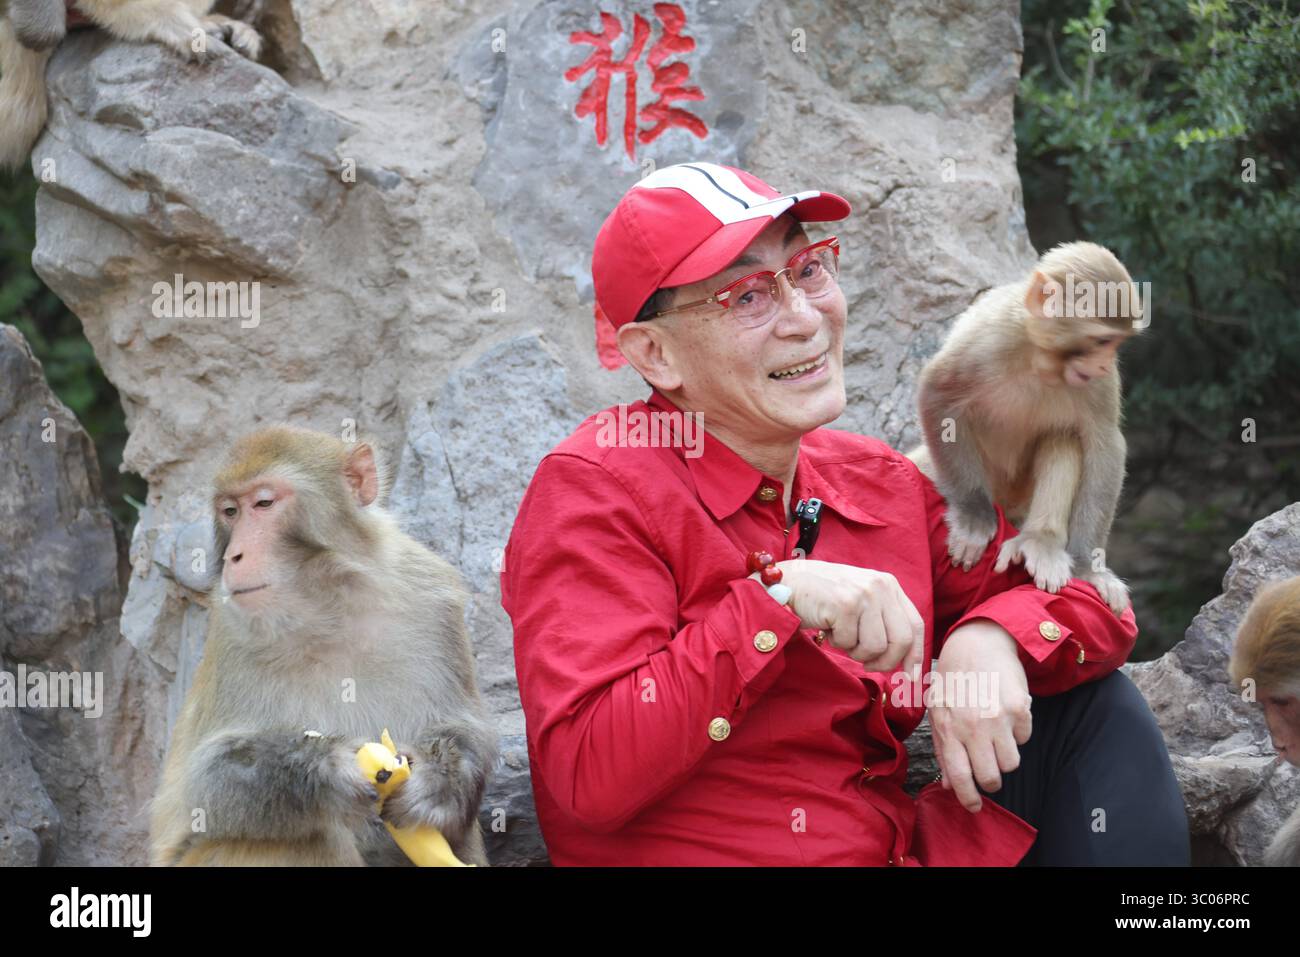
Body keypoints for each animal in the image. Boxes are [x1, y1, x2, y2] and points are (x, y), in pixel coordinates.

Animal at [147, 426, 498, 866]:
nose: (234, 556)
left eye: (263, 503)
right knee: (304, 835)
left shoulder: (431, 596)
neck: (329, 606)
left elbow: (463, 727)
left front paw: (435, 783)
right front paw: (325, 769)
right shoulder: (229, 625)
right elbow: (207, 777)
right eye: (230, 512)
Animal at [907, 241, 1143, 614]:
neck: (1042, 361)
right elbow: (937, 396)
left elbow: (1104, 445)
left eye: (1116, 345)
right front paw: (974, 513)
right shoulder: (988, 338)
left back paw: (1040, 541)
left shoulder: (1098, 385)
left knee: (1063, 436)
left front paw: (1089, 569)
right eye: (1101, 341)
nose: (1105, 364)